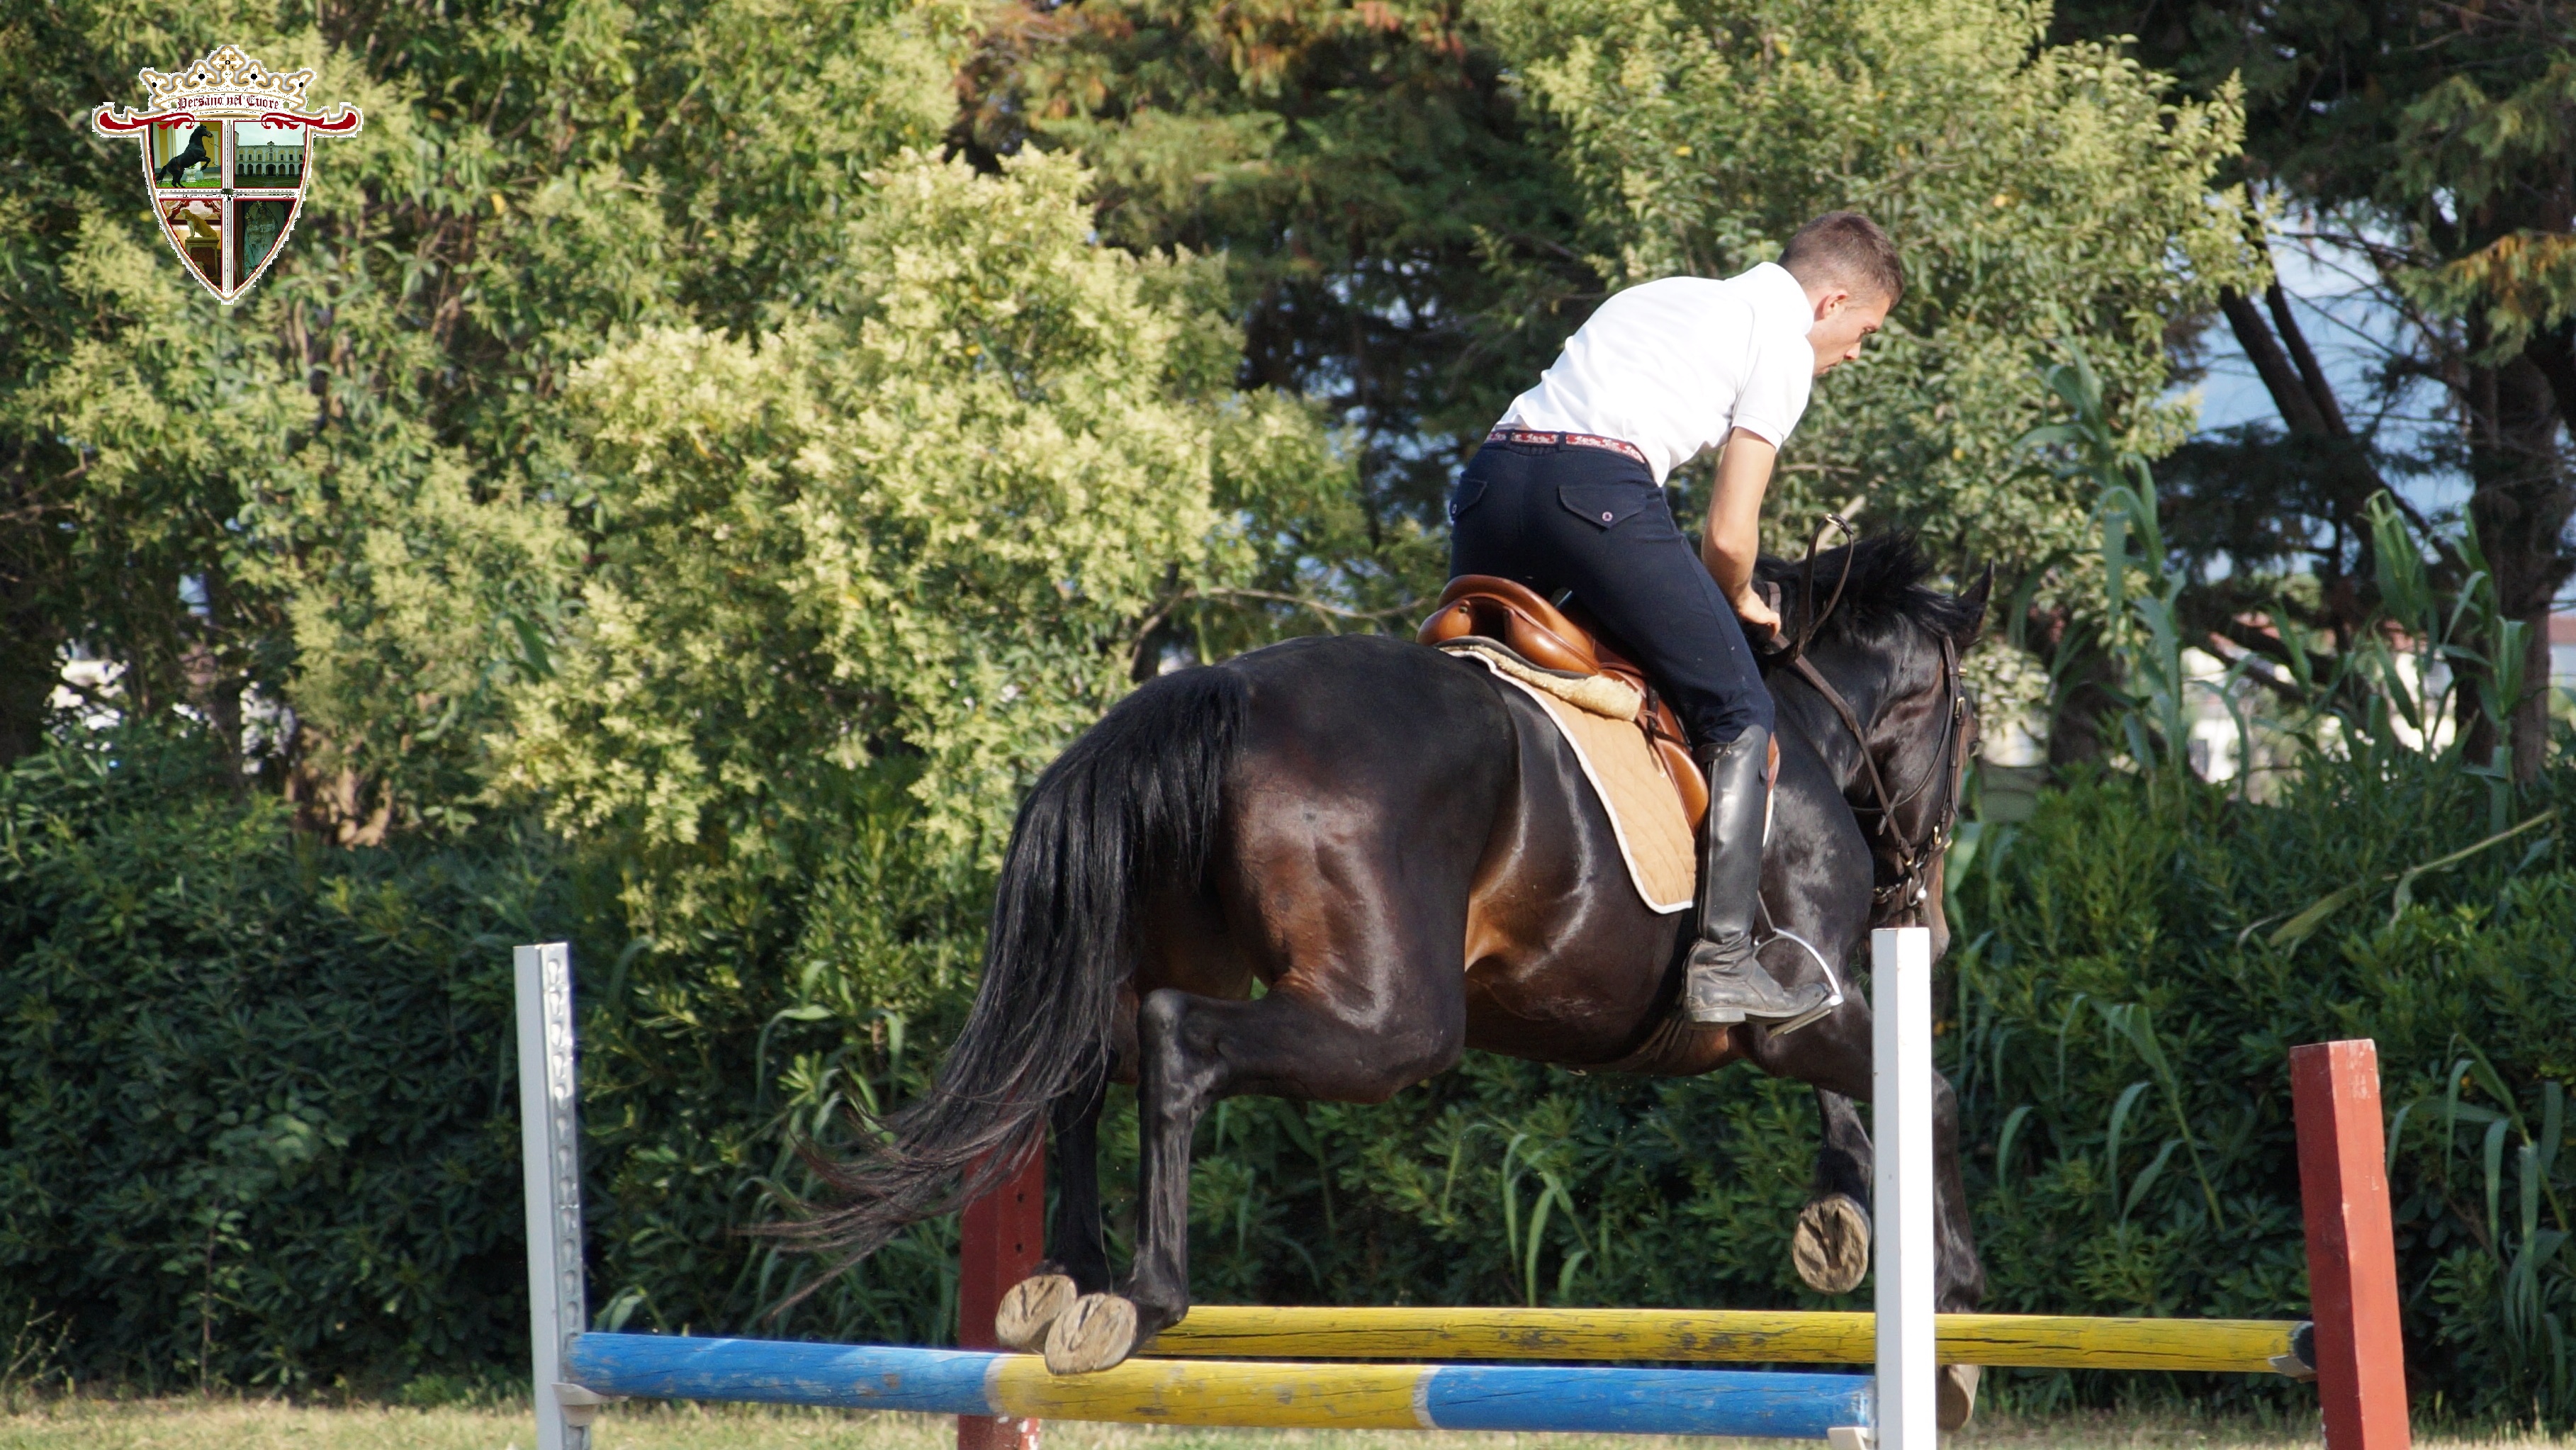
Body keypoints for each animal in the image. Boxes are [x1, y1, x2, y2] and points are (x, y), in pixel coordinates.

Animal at [785, 532, 1993, 1424]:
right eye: (1968, 725)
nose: (1926, 921)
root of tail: (1214, 689)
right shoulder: (1789, 1004)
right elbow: (1921, 1091)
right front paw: (1951, 1315)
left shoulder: (1792, 1006)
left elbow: (1862, 1083)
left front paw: (1840, 1211)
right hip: (1391, 1025)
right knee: (1179, 1040)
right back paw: (1145, 1293)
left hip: (1199, 955)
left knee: (1081, 1063)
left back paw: (1070, 1276)